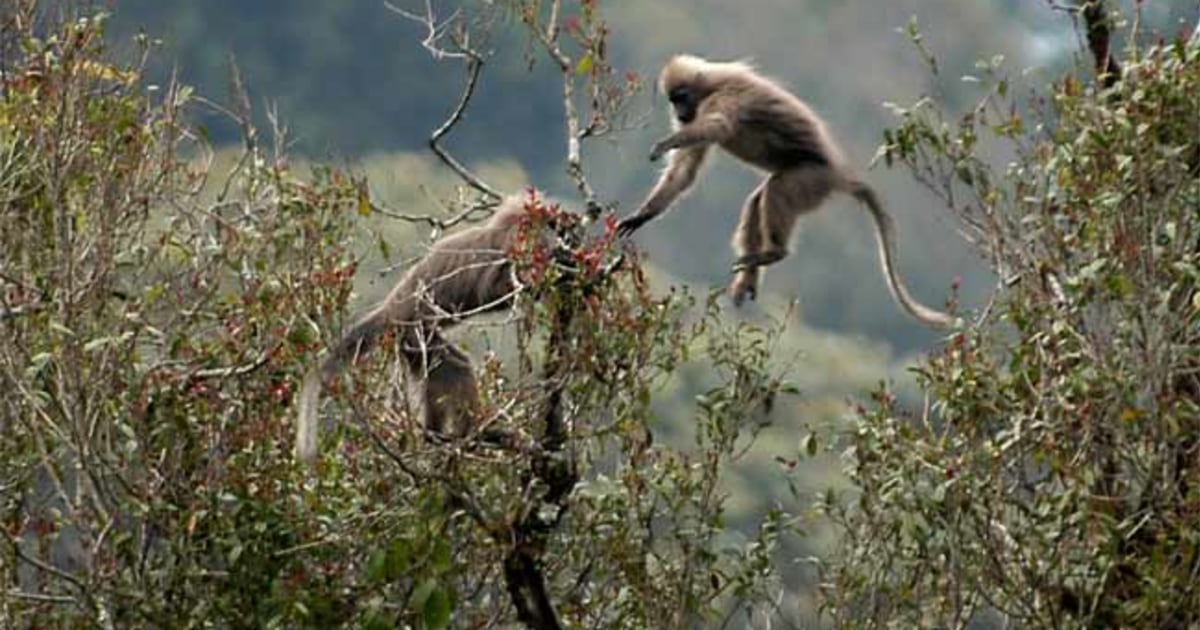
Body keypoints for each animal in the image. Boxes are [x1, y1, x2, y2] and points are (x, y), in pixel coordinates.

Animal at [294, 193, 566, 462]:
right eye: (547, 221)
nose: (558, 225)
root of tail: (390, 311)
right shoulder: (504, 249)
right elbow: (492, 289)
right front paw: (546, 274)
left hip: (411, 343)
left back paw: (435, 435)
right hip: (415, 336)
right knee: (458, 369)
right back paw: (474, 434)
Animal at [617, 54, 960, 329]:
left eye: (681, 96)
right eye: (673, 100)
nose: (680, 113)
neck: (711, 86)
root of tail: (840, 173)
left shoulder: (726, 97)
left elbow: (719, 126)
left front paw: (665, 143)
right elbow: (684, 173)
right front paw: (642, 215)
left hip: (811, 179)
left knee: (777, 190)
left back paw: (774, 253)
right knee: (757, 201)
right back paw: (749, 276)